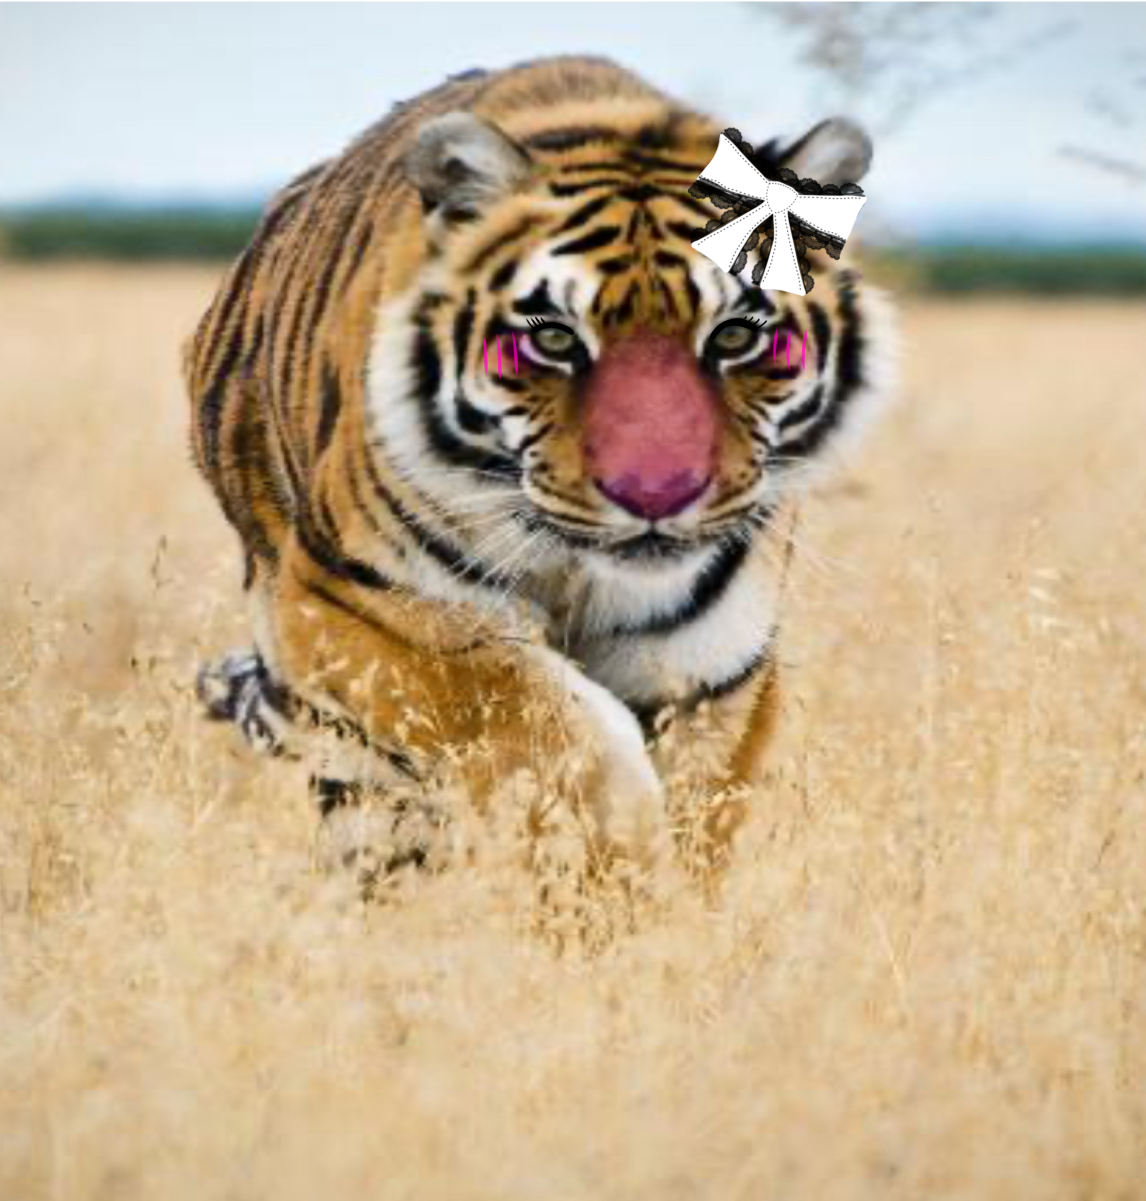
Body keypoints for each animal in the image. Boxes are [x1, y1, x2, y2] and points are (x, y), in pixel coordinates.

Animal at [185, 54, 896, 881]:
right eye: (553, 337)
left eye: (734, 336)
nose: (656, 493)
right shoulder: (358, 602)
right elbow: (556, 737)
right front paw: (619, 872)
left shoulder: (715, 667)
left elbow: (699, 807)